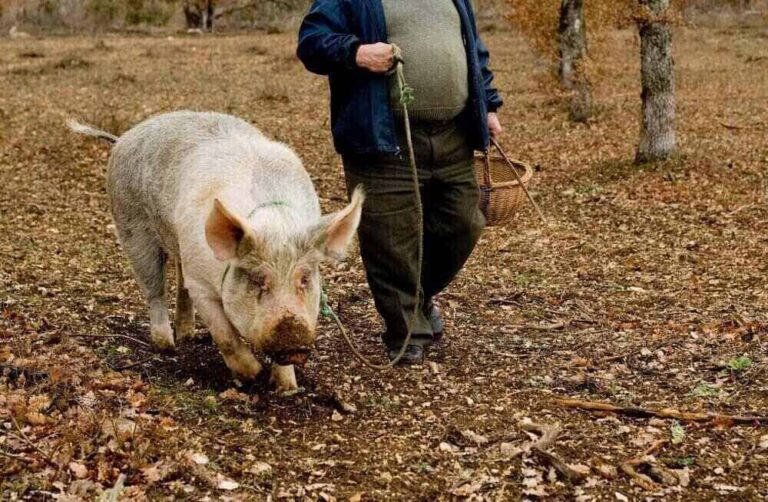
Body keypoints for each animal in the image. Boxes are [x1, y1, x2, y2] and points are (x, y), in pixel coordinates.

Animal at [69, 111, 364, 391]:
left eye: (304, 279)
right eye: (257, 280)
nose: (292, 332)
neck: (273, 224)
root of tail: (123, 137)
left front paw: (287, 388)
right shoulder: (201, 283)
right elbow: (225, 336)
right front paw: (252, 375)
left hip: (178, 242)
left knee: (179, 279)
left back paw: (186, 335)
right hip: (132, 227)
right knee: (154, 289)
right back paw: (167, 345)